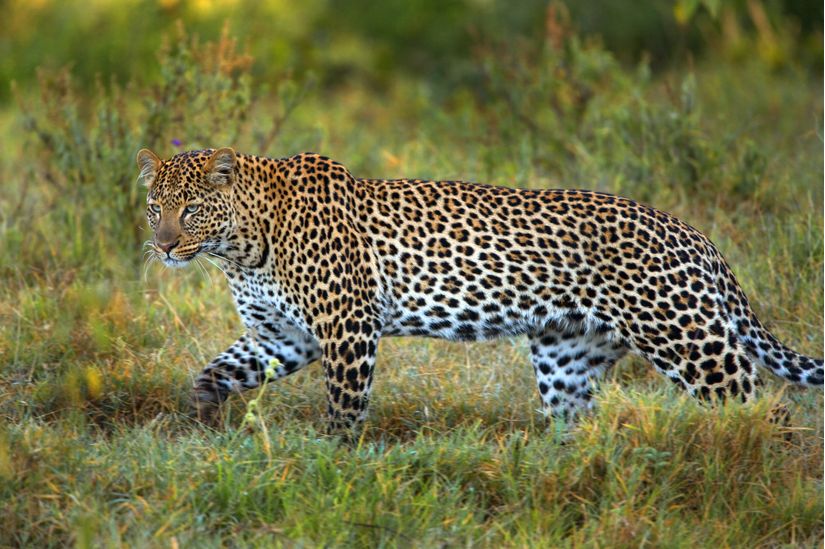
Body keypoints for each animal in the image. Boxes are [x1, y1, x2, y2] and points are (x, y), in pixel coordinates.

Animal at [137, 147, 823, 434]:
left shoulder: (348, 329)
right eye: (154, 206)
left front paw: (334, 459)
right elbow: (218, 371)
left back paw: (769, 470)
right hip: (569, 357)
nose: (164, 245)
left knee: (763, 405)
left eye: (191, 208)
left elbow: (344, 408)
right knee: (574, 424)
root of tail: (695, 234)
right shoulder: (283, 336)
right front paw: (203, 419)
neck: (239, 248)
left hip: (687, 339)